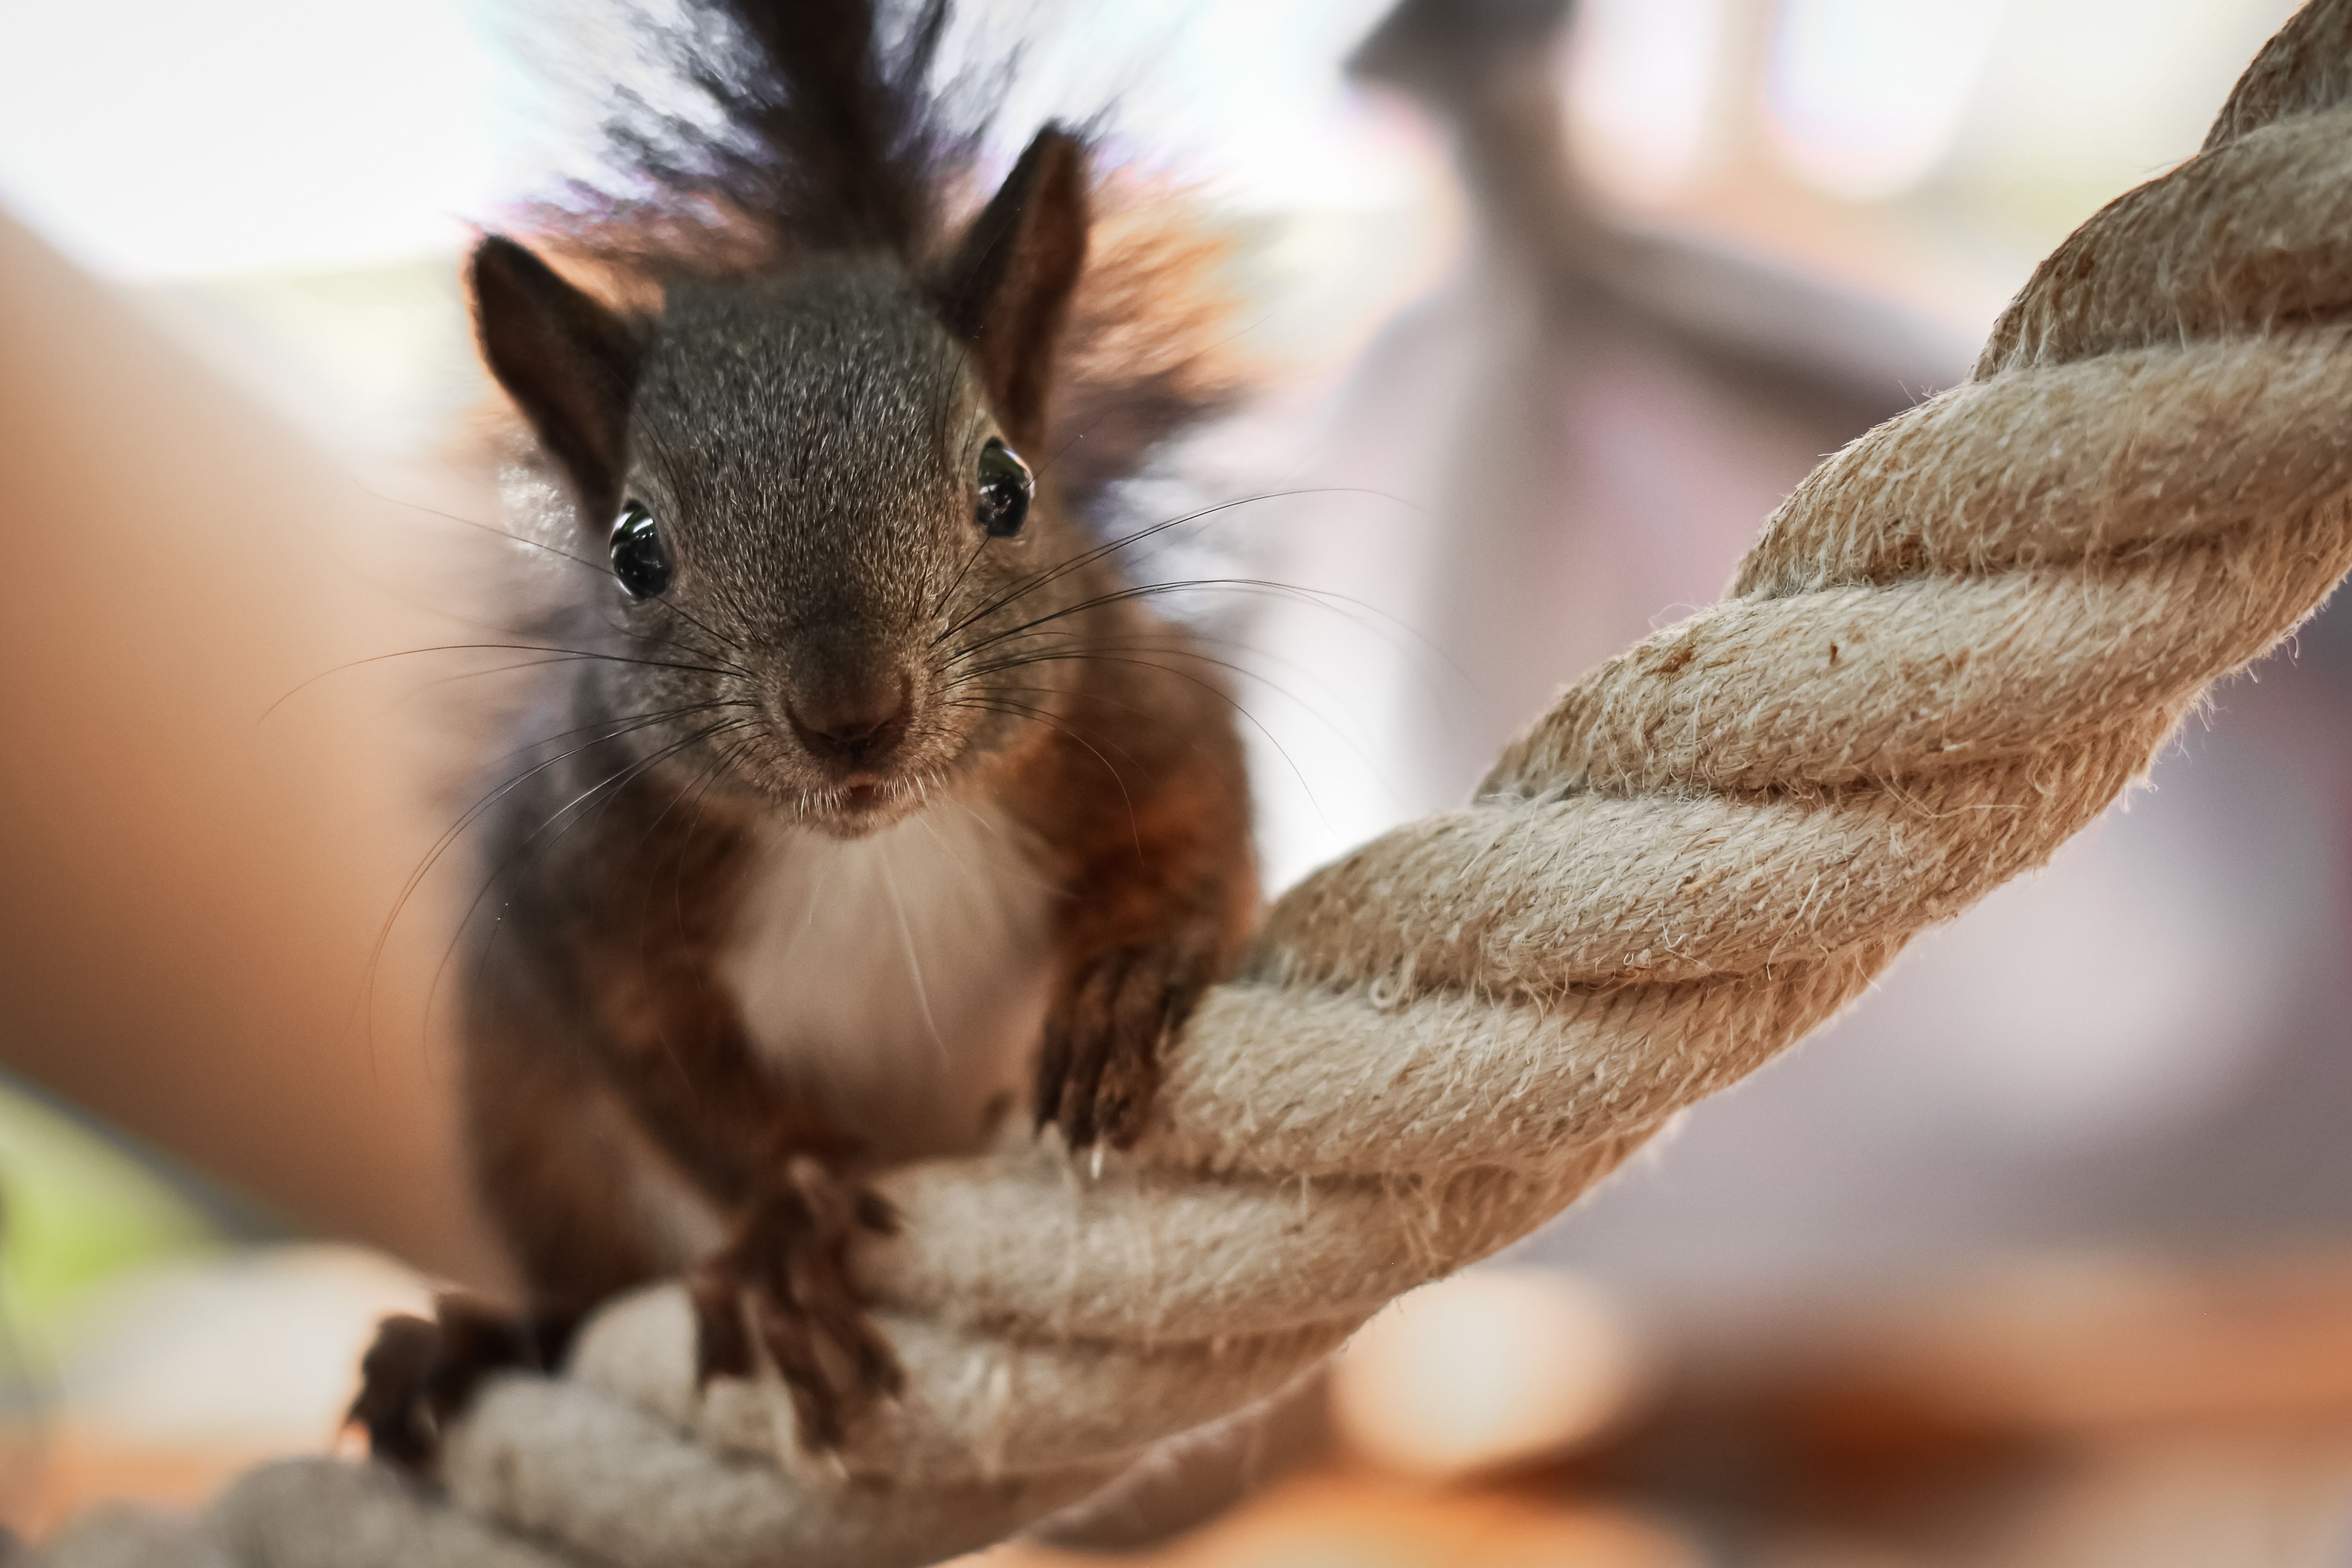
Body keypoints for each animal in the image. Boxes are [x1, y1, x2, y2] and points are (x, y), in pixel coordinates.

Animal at [350, 0, 1259, 1463]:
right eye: (633, 550)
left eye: (1008, 486)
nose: (852, 716)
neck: (875, 844)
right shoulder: (582, 883)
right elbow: (672, 1071)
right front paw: (783, 1226)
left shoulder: (1146, 715)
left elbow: (1196, 843)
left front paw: (1122, 983)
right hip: (545, 1158)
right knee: (579, 1298)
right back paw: (465, 1347)